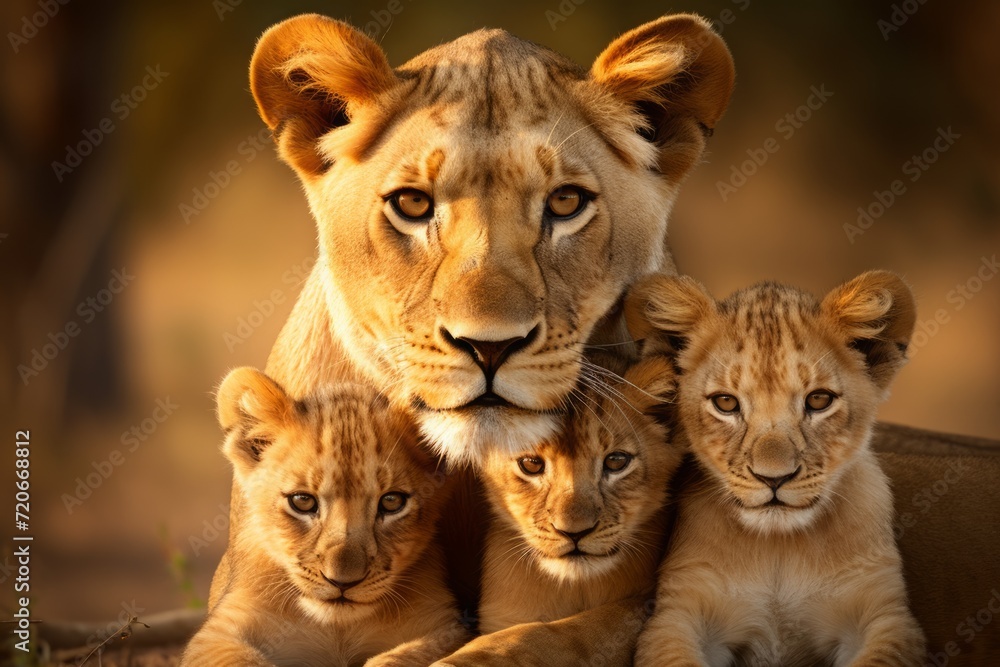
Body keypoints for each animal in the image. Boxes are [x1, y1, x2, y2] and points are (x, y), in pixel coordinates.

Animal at [184, 367, 468, 666]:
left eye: (392, 502)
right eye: (302, 501)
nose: (343, 582)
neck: (337, 627)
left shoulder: (445, 626)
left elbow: (403, 657)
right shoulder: (218, 633)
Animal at [627, 271, 926, 666]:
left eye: (819, 400)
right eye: (726, 403)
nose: (774, 478)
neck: (778, 548)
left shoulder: (883, 613)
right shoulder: (678, 612)